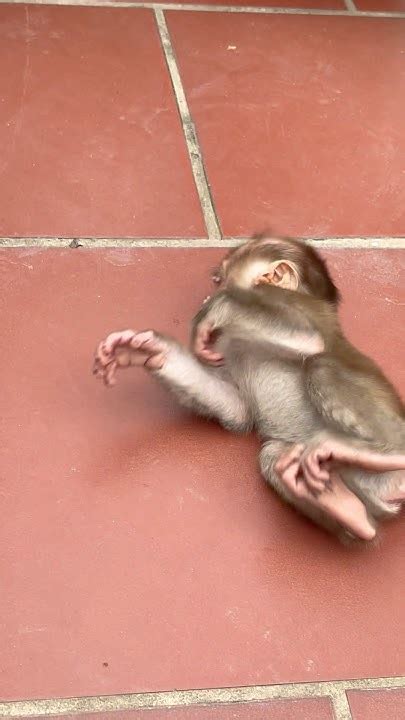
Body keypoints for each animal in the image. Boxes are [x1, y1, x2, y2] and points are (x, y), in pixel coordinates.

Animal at [93, 235, 405, 543]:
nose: (209, 293)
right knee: (274, 454)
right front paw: (147, 351)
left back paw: (387, 453)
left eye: (220, 280)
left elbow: (309, 337)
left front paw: (212, 310)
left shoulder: (281, 299)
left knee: (321, 367)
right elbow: (238, 409)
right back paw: (348, 511)